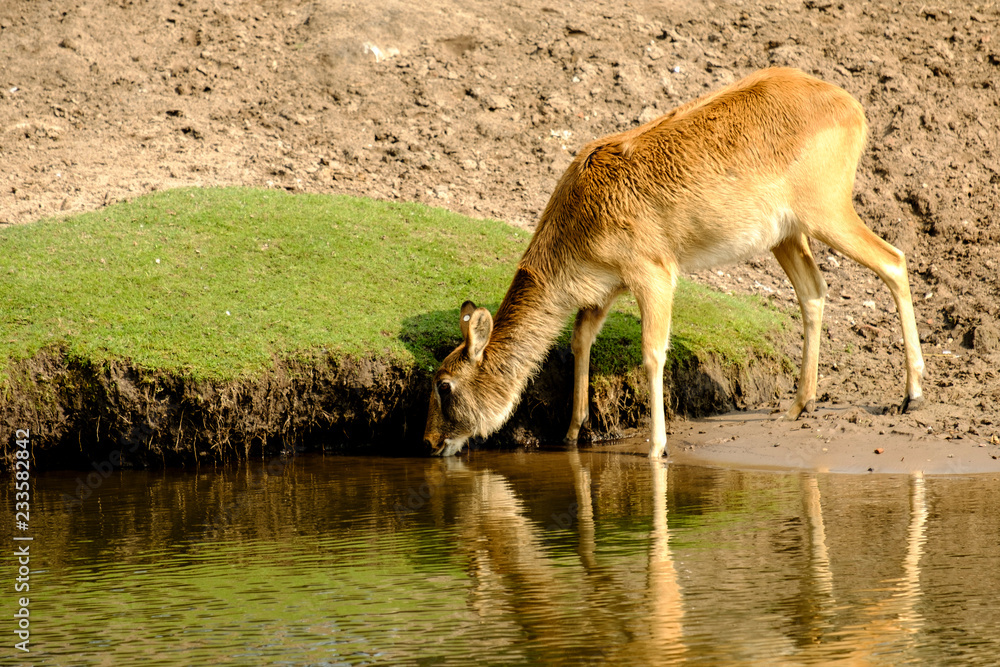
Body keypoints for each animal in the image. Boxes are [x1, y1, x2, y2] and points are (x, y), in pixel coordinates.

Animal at [423, 67, 925, 459]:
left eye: (444, 385)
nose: (429, 442)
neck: (579, 214)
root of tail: (851, 105)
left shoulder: (654, 273)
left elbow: (652, 353)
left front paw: (656, 446)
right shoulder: (603, 290)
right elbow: (580, 340)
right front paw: (572, 433)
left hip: (828, 213)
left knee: (895, 261)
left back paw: (913, 396)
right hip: (786, 235)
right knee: (815, 292)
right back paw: (799, 404)